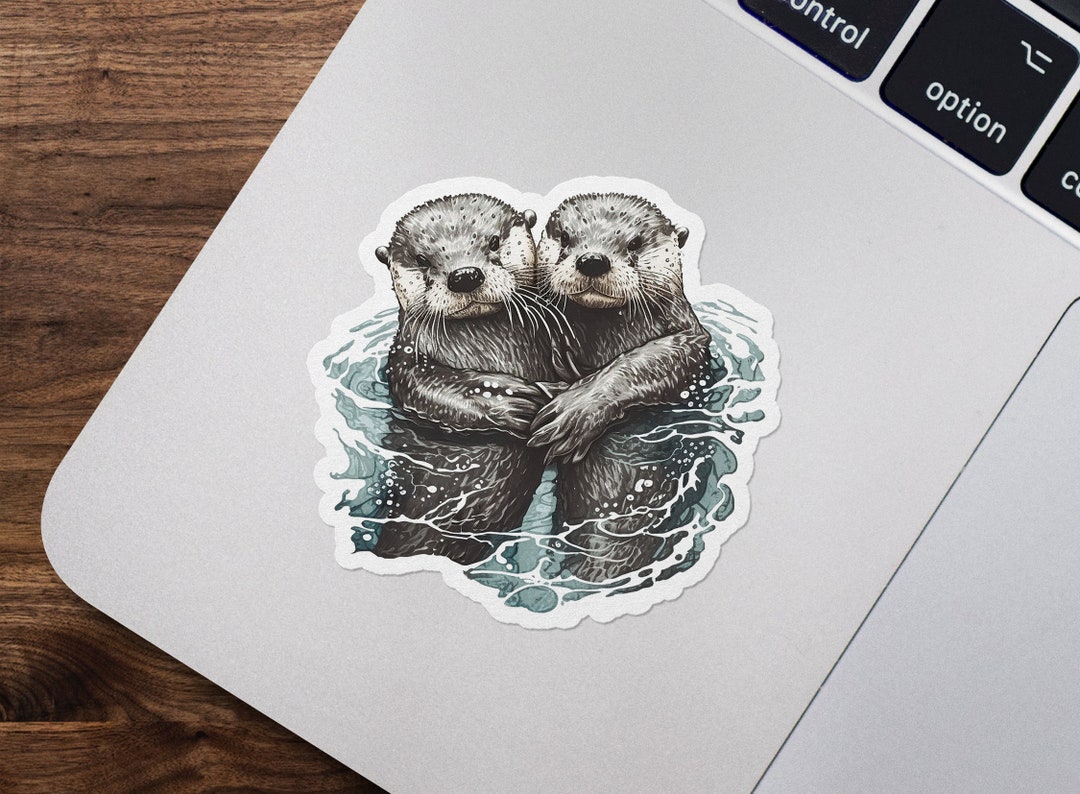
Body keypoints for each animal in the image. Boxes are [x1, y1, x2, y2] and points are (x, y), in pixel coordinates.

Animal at [363, 193, 570, 566]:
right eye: (422, 259)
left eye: (494, 242)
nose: (464, 275)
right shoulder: (403, 357)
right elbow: (422, 388)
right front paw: (510, 401)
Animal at [528, 192, 717, 582]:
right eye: (565, 238)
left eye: (634, 243)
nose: (592, 260)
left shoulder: (690, 339)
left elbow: (644, 361)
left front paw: (574, 411)